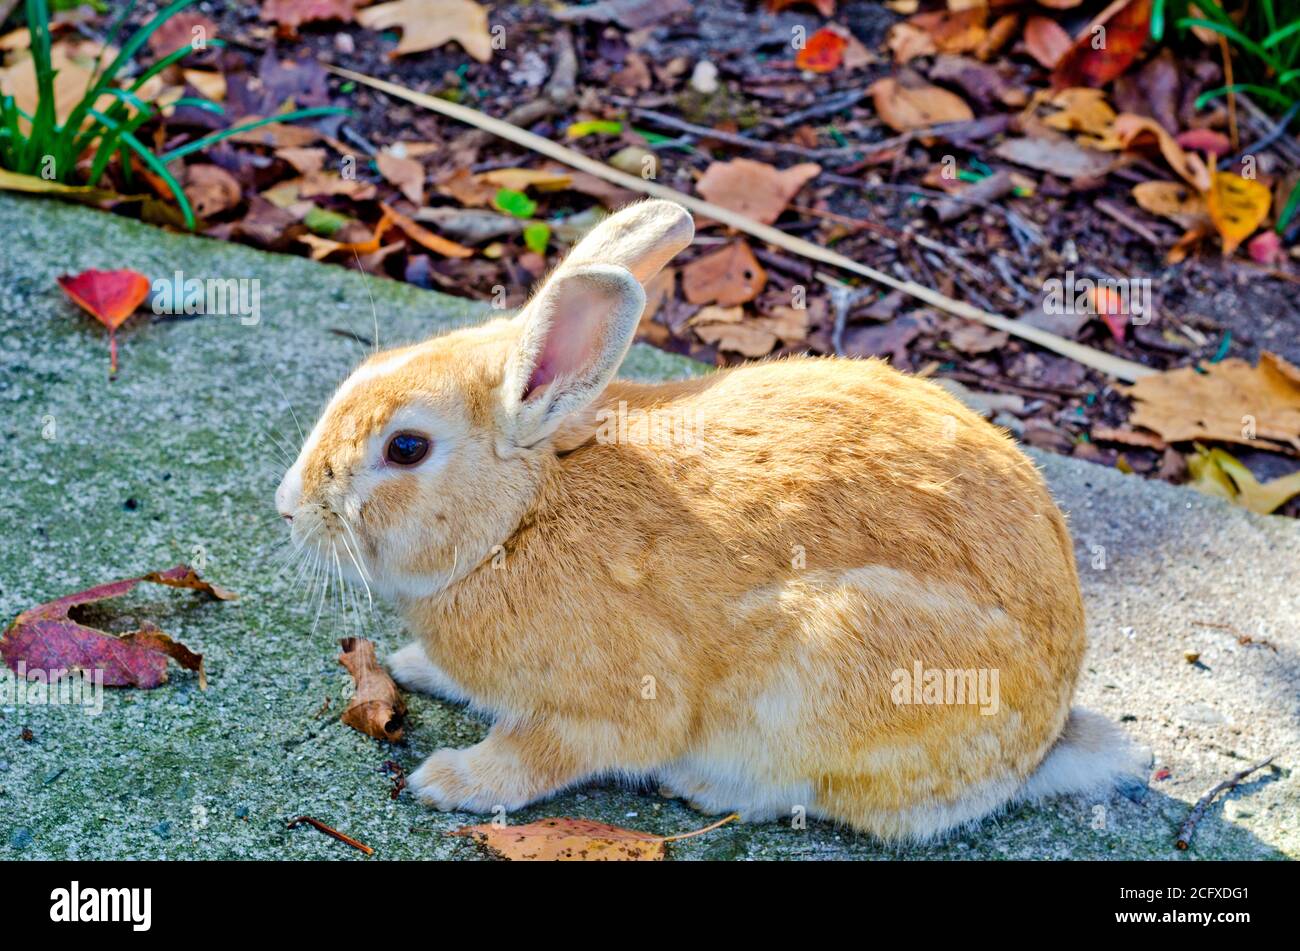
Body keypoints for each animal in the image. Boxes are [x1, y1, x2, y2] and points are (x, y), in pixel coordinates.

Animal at [275, 198, 1146, 841]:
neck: (516, 520)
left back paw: (697, 785)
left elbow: (539, 755)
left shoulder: (605, 708)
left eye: (407, 447)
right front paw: (414, 663)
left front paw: (447, 779)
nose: (288, 506)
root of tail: (1042, 741)